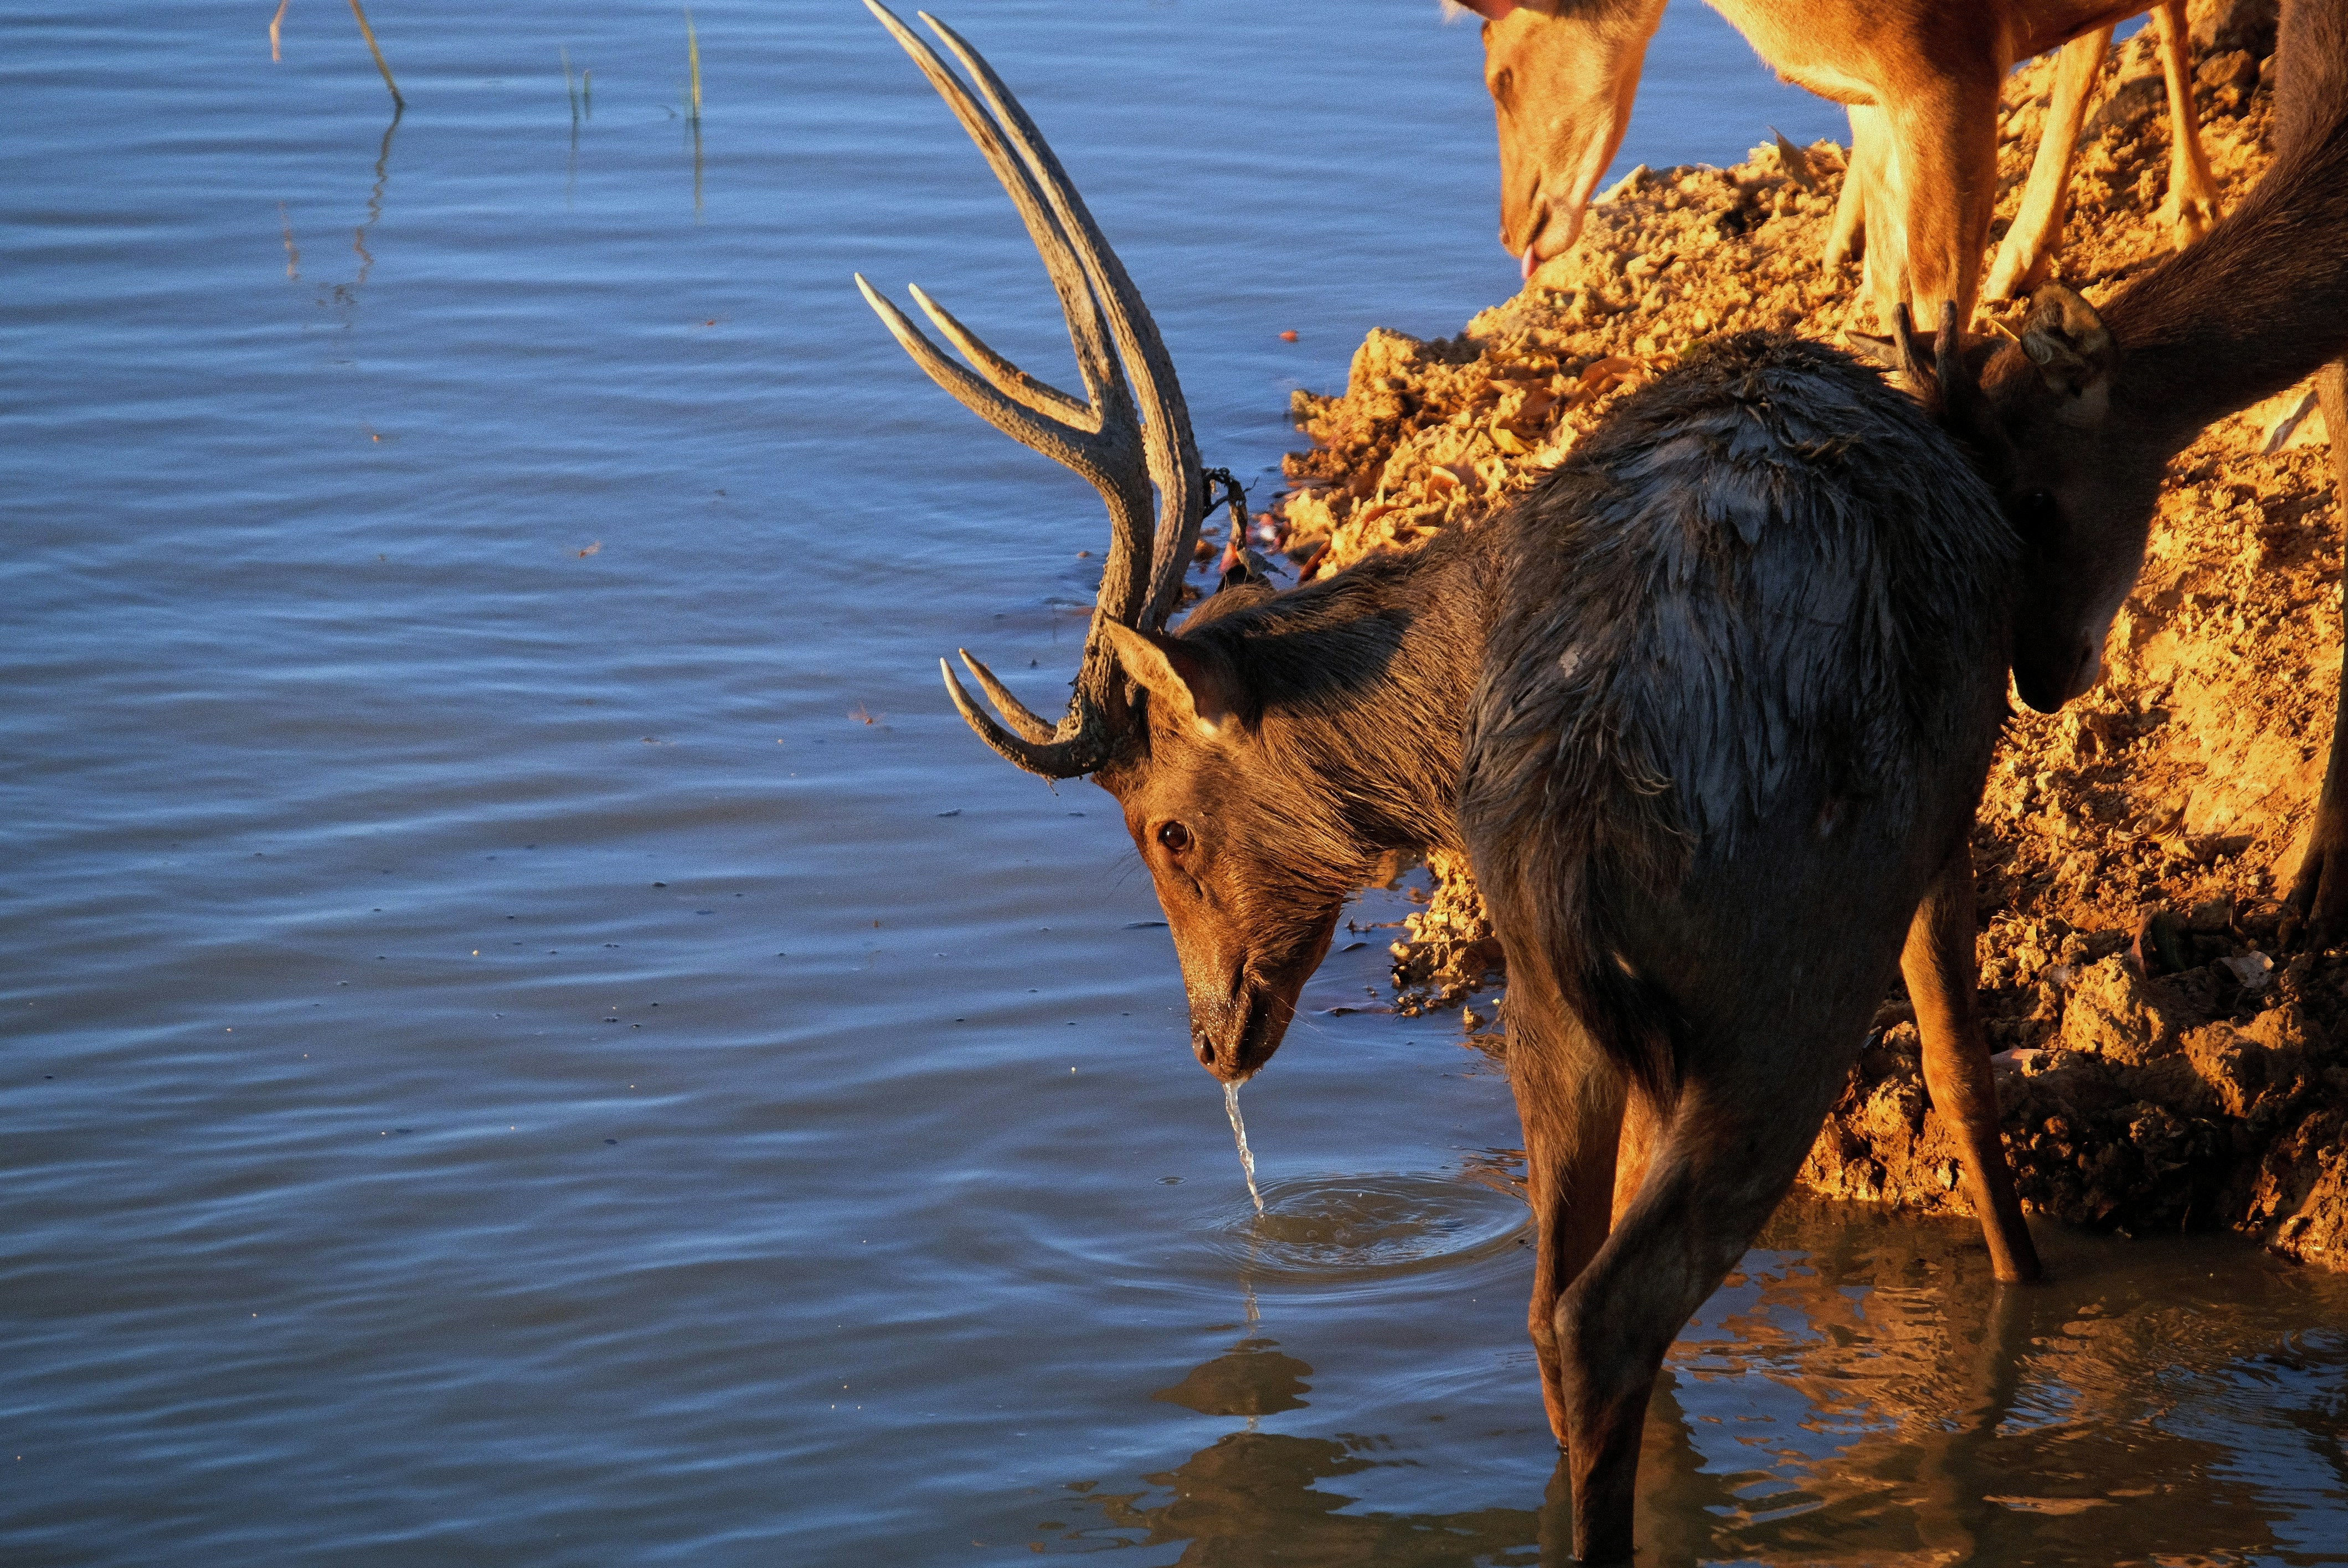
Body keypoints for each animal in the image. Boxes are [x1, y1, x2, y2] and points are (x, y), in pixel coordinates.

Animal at [852, 4, 2043, 1559]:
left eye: (1166, 831)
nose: (1207, 1043)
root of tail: (1576, 821)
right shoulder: (1940, 805)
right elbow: (1964, 1075)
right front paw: (2029, 1287)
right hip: (1786, 962)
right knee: (1606, 1306)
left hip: (1554, 995)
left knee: (1552, 1305)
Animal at [1460, 0, 2226, 330]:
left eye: (1498, 79)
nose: (1509, 229)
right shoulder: (1875, 92)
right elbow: (1888, 287)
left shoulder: (1946, 62)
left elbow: (1936, 294)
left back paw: (2191, 208)